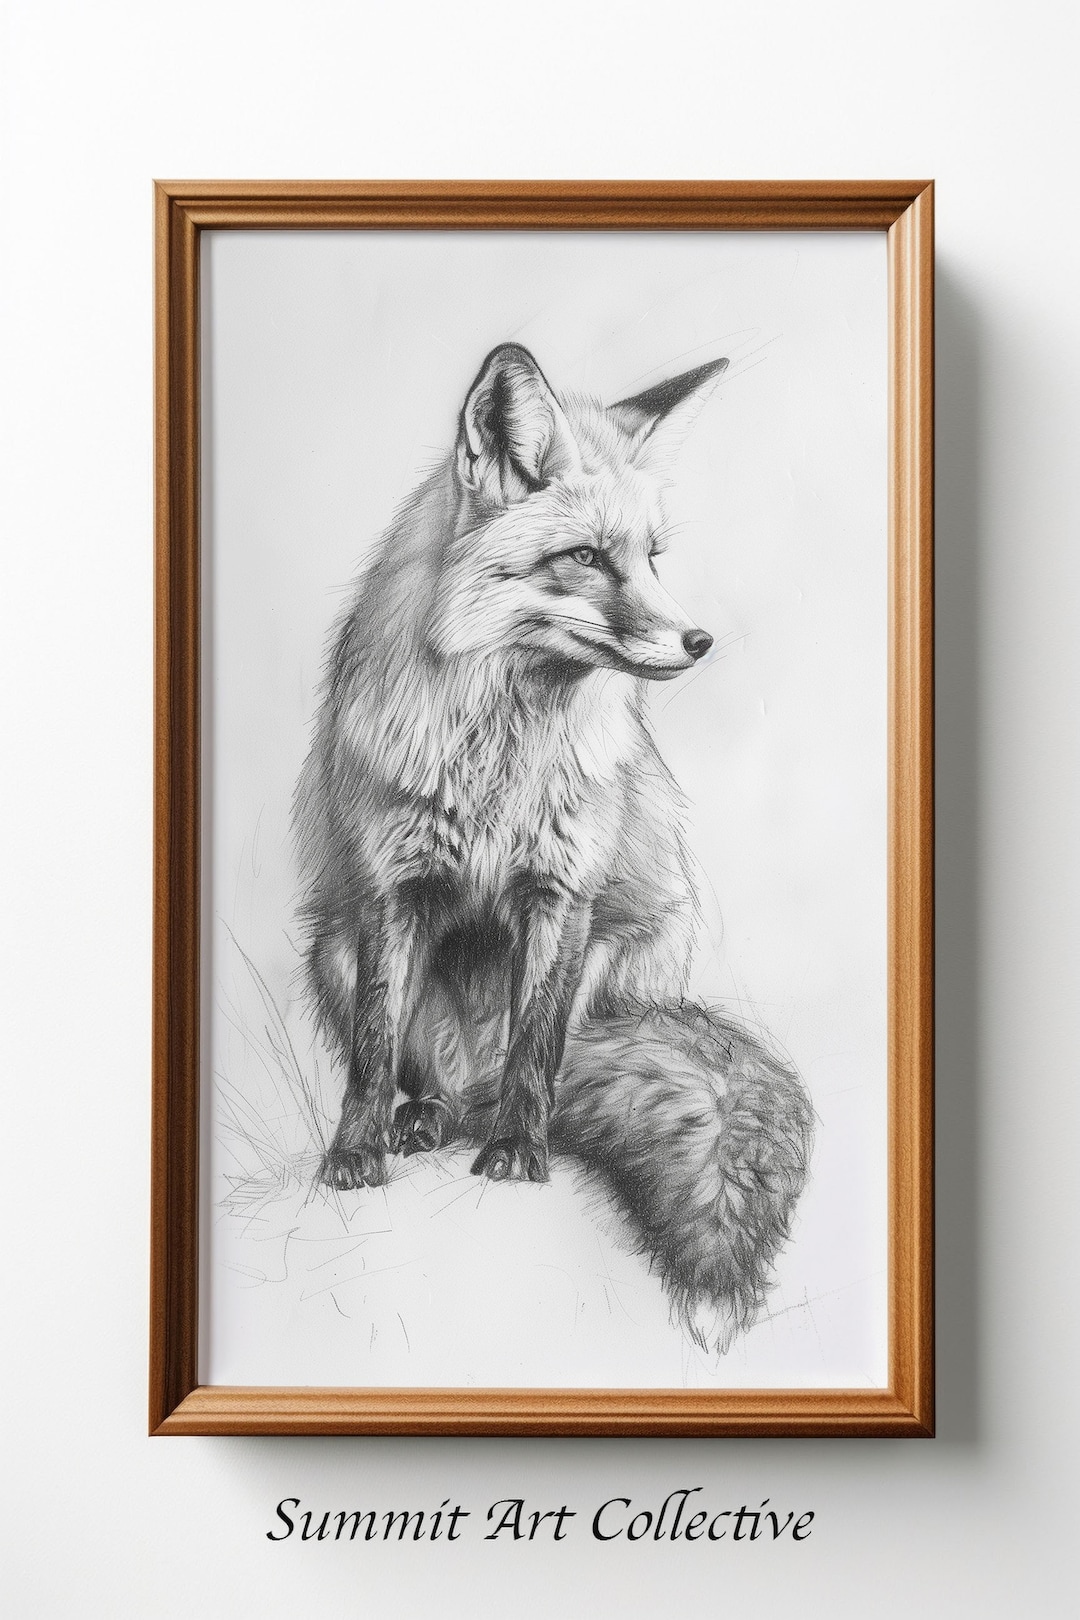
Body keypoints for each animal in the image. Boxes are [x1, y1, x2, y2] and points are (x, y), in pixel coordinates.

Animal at [293, 341, 814, 1350]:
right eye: (584, 558)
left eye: (652, 558)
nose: (699, 639)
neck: (500, 753)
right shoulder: (391, 890)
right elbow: (372, 1049)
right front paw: (355, 1152)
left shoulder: (563, 890)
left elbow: (537, 1043)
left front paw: (519, 1153)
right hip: (331, 946)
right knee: (435, 1085)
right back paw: (429, 1119)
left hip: (629, 954)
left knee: (536, 1072)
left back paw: (496, 1123)